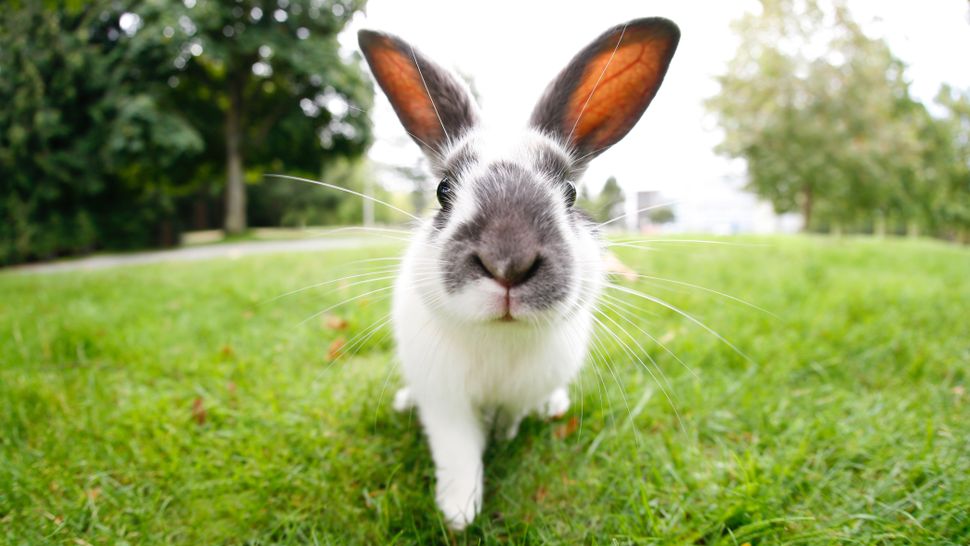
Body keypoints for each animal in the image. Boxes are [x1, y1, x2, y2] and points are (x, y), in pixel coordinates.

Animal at [357, 17, 679, 530]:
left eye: (570, 192)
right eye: (443, 191)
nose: (507, 262)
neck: (499, 338)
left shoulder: (519, 393)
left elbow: (508, 419)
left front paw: (502, 441)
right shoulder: (446, 403)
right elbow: (459, 453)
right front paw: (458, 513)